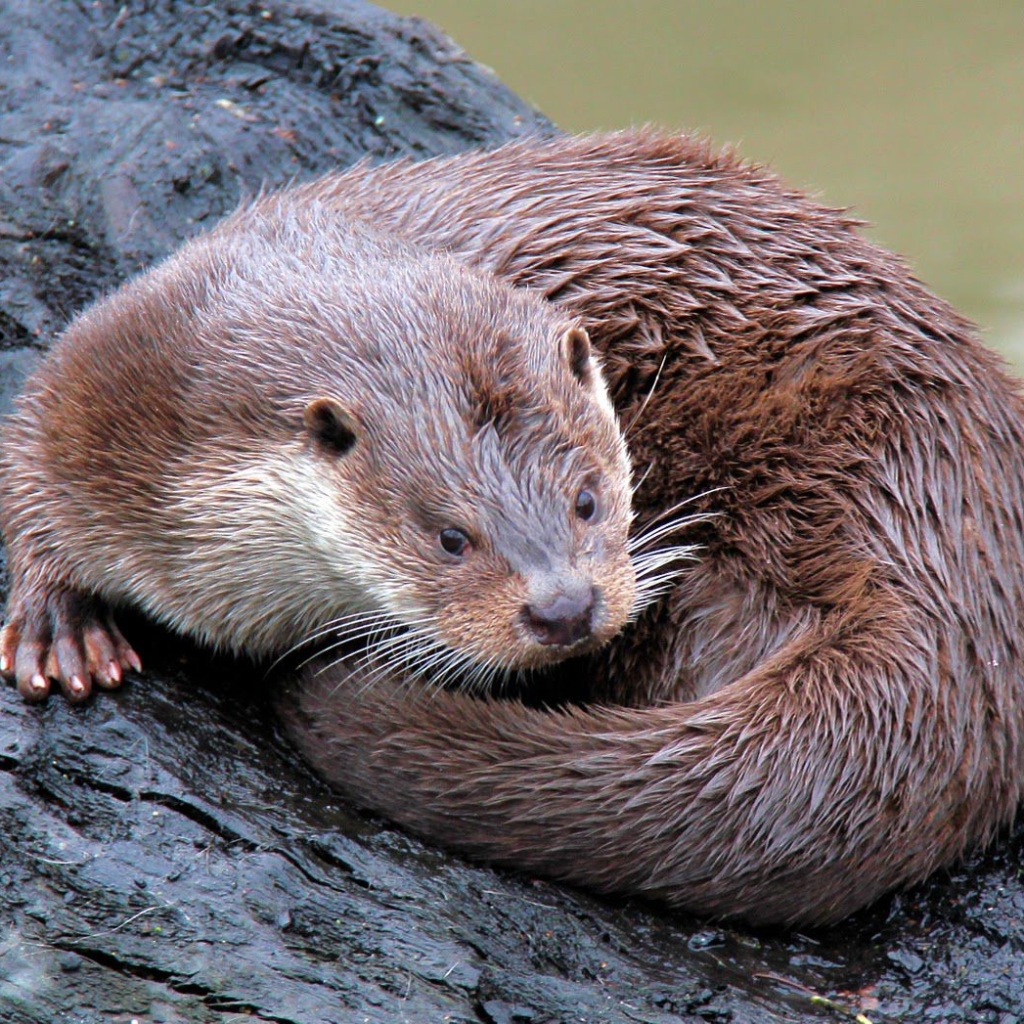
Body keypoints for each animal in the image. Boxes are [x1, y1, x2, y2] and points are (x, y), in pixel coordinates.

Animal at [5, 131, 1024, 927]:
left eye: (588, 498)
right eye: (448, 536)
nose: (565, 607)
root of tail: (954, 594)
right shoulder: (114, 377)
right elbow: (27, 462)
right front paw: (59, 623)